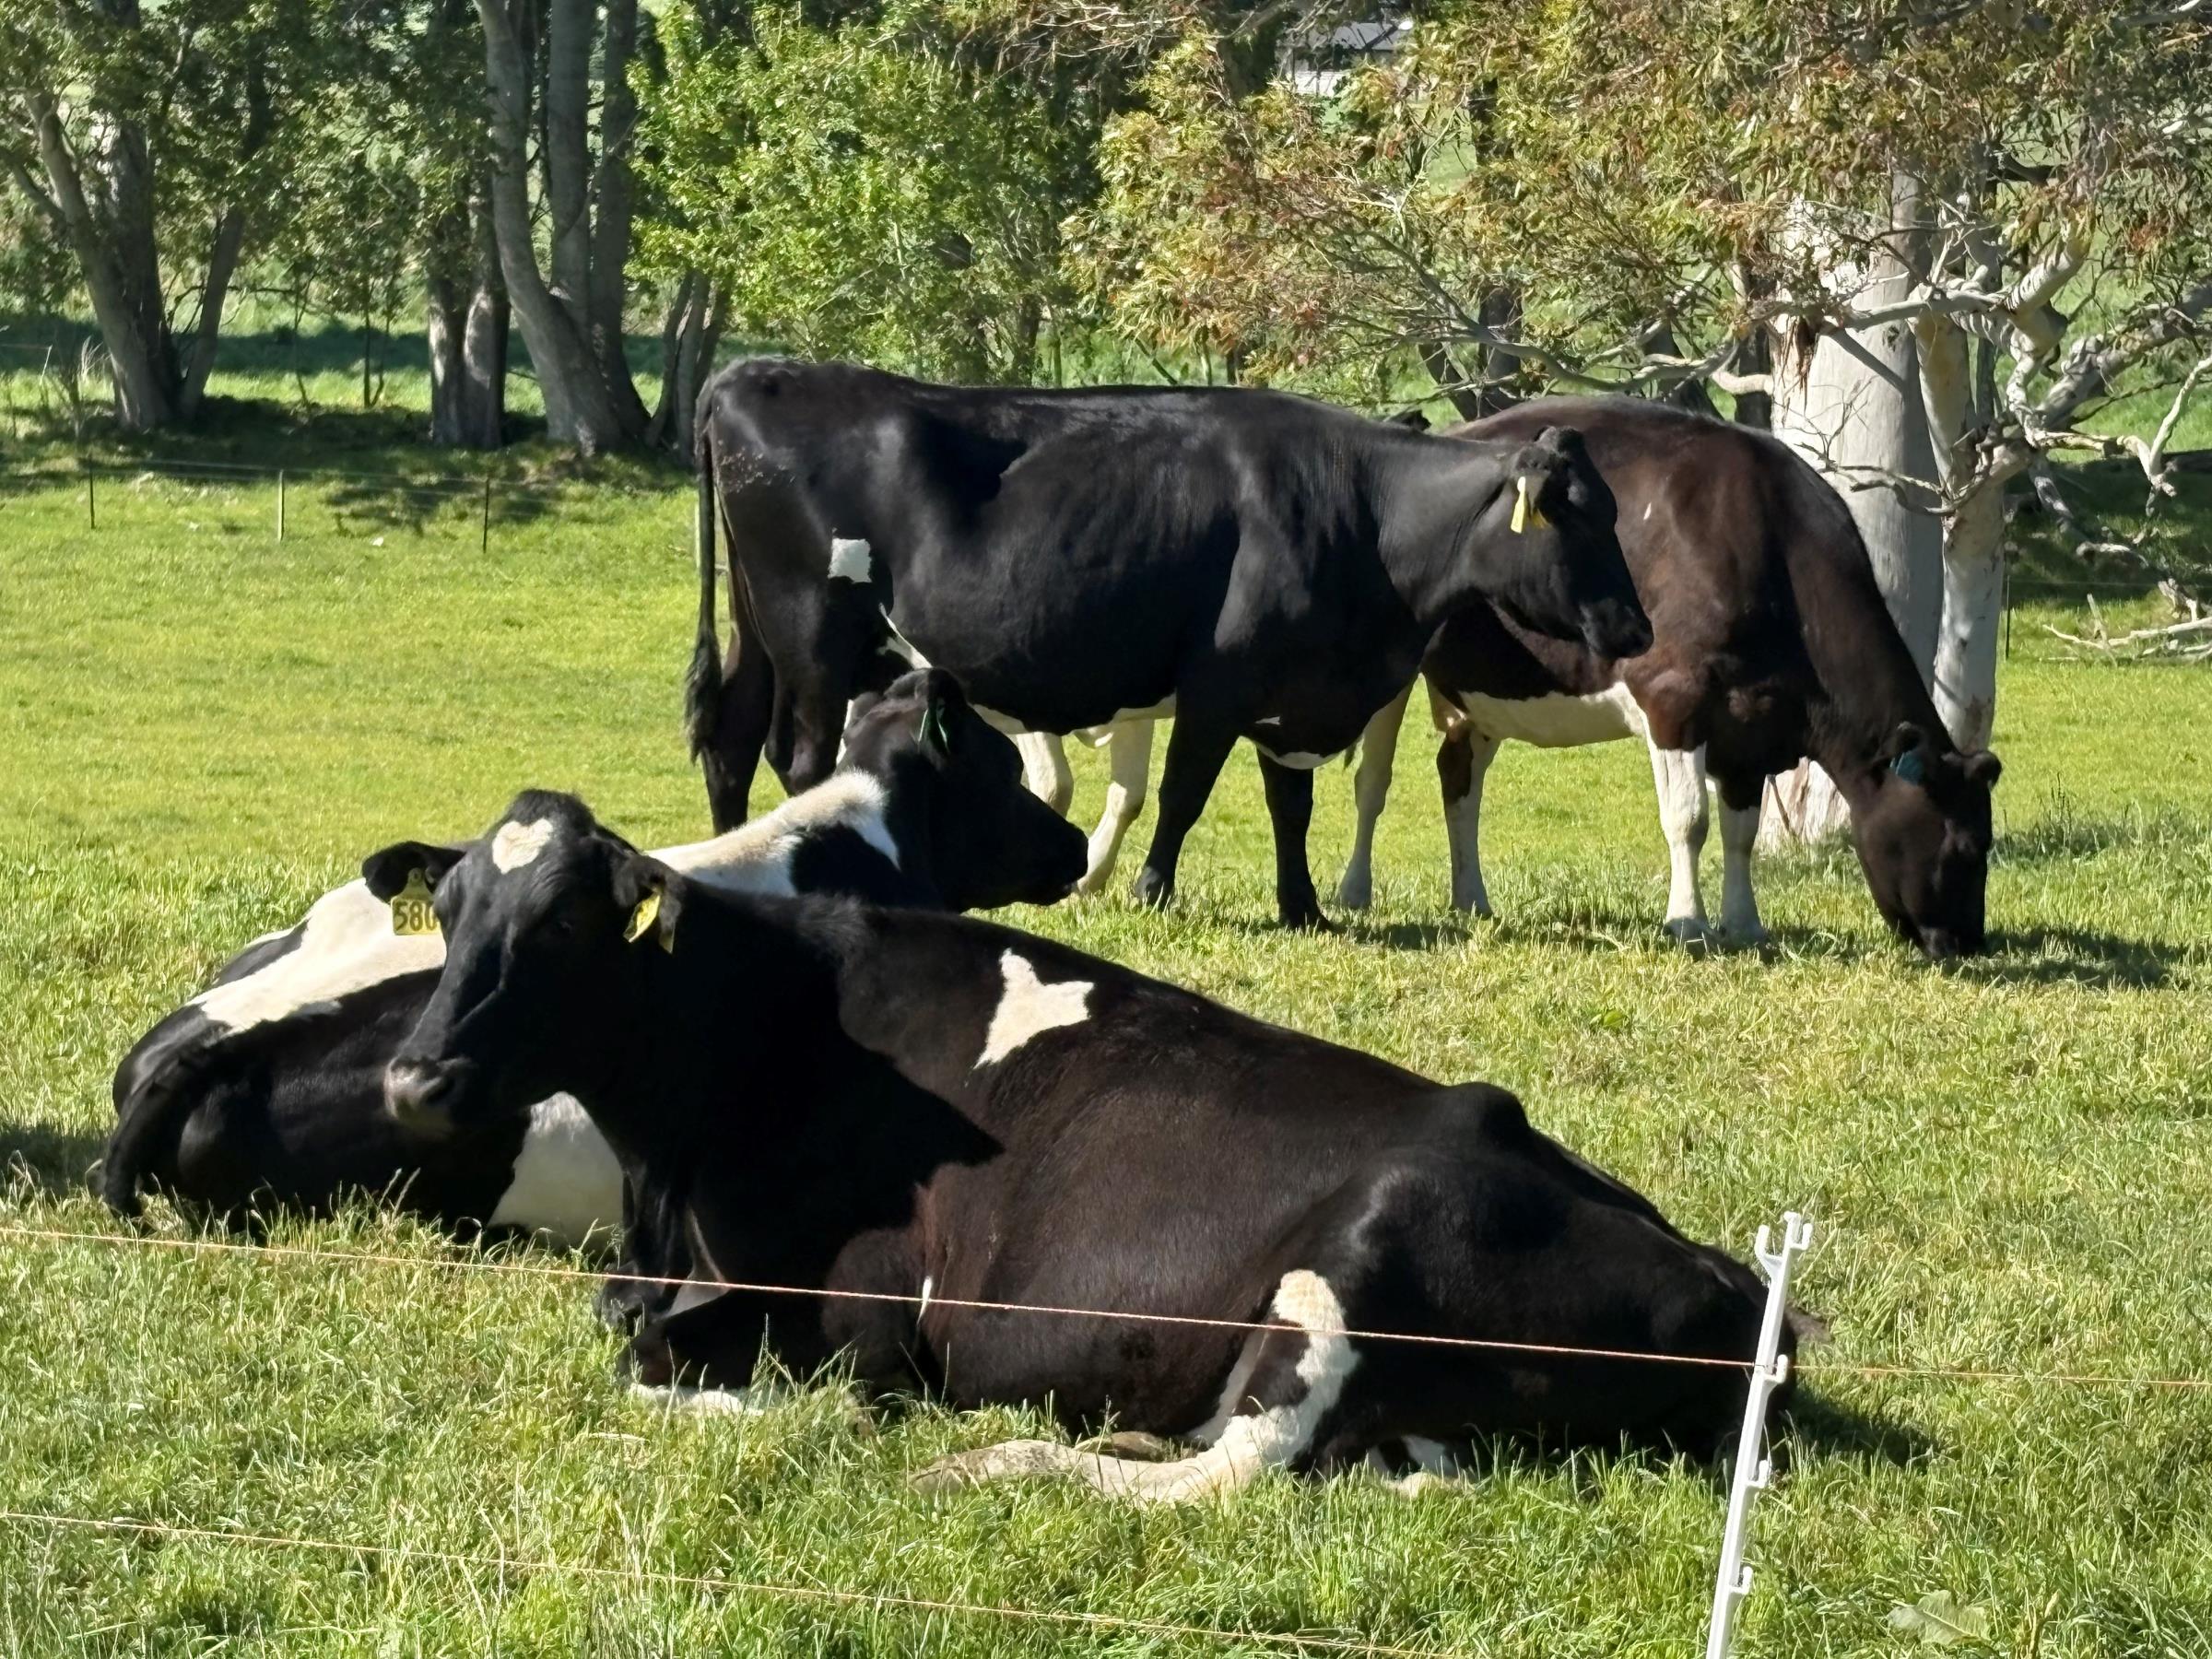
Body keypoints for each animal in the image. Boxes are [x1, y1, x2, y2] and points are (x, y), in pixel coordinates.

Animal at [367, 789, 1793, 1502]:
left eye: (563, 925)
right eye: (448, 906)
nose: (415, 1078)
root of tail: (1728, 1276)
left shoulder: (863, 1316)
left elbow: (658, 1370)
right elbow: (625, 1328)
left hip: (1359, 1259)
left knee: (1238, 1478)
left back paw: (993, 1462)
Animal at [685, 359, 1652, 929]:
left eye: (1611, 510)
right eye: (1572, 516)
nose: (1638, 628)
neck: (1364, 513)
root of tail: (754, 371)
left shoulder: (1293, 697)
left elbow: (1290, 807)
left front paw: (1303, 908)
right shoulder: (1219, 683)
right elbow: (1187, 792)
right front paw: (1152, 891)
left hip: (758, 632)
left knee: (731, 743)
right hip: (813, 636)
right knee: (802, 760)